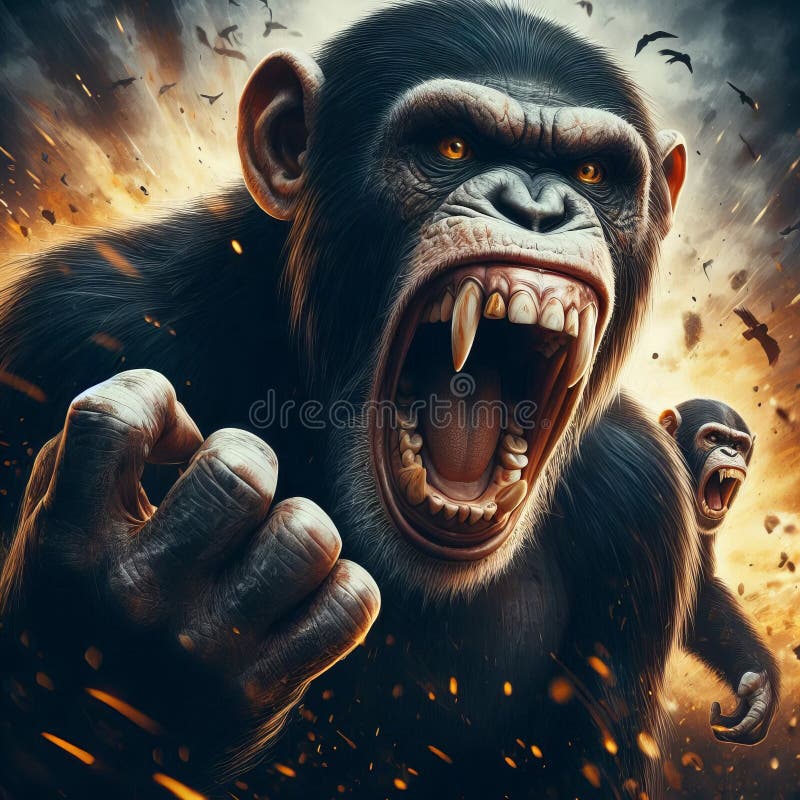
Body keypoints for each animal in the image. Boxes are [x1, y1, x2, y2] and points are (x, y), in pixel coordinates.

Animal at [0, 2, 695, 797]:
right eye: (453, 146)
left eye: (591, 171)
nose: (537, 207)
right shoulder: (62, 333)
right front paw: (147, 631)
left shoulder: (643, 509)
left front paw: (170, 628)